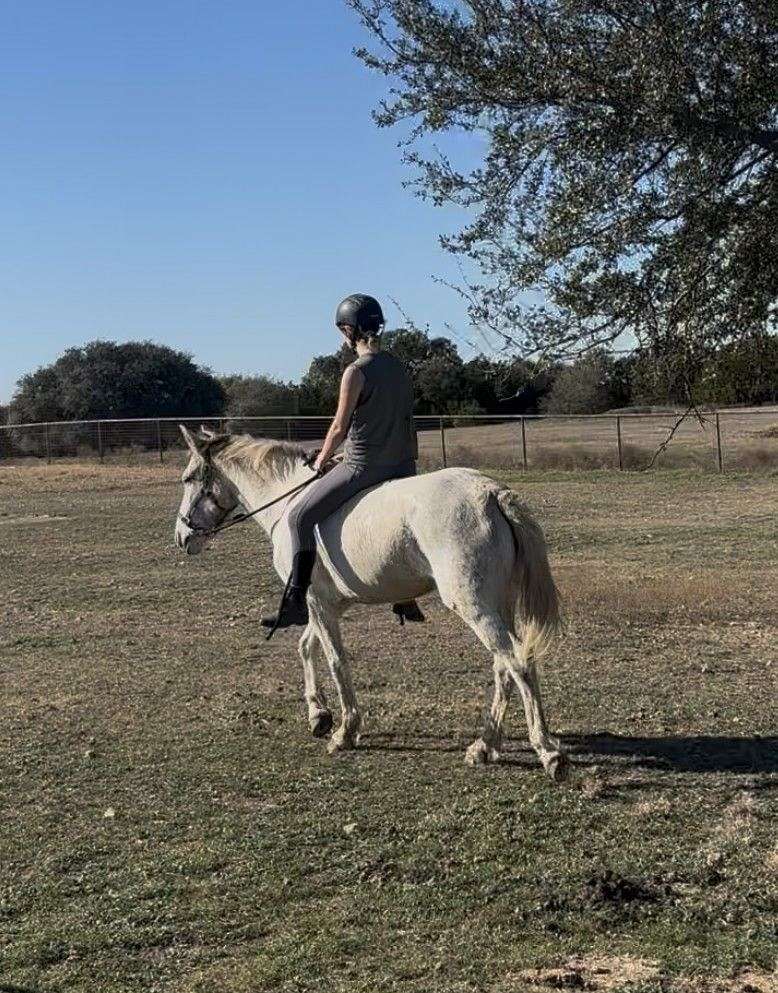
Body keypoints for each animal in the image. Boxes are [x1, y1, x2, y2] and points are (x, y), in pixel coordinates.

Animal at [174, 425, 568, 781]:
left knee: (517, 661)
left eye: (189, 478)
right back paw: (485, 745)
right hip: (497, 604)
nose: (182, 537)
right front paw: (318, 715)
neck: (286, 499)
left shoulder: (316, 602)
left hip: (474, 606)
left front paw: (344, 731)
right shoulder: (326, 604)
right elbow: (306, 646)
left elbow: (335, 660)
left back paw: (547, 752)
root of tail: (490, 492)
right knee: (504, 665)